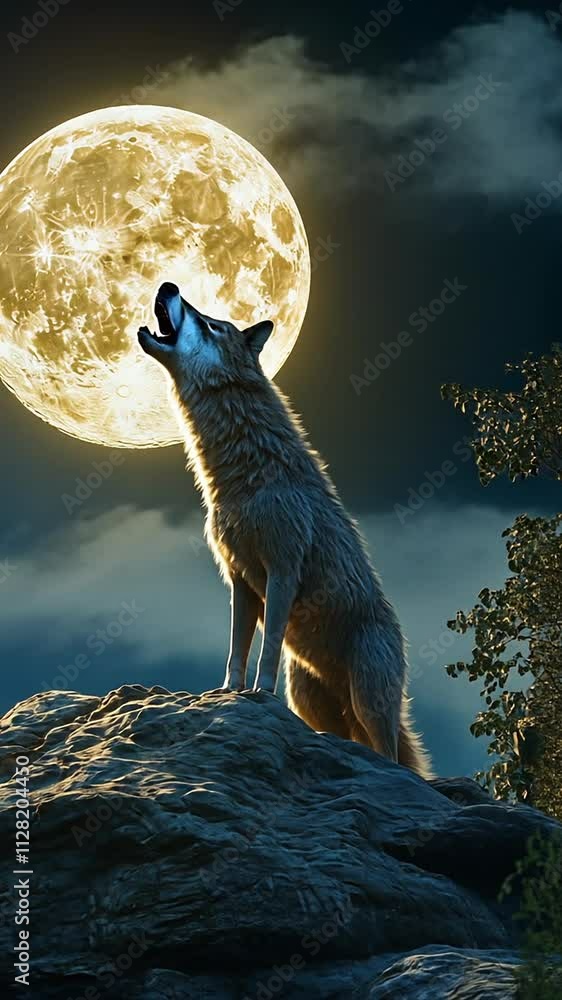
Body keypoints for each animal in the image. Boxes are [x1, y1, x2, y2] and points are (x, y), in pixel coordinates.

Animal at [138, 283, 433, 778]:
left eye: (209, 323)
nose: (169, 286)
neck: (243, 481)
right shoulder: (240, 581)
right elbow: (236, 650)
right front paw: (227, 693)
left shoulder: (282, 570)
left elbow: (269, 646)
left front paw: (260, 693)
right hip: (314, 702)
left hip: (368, 700)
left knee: (393, 756)